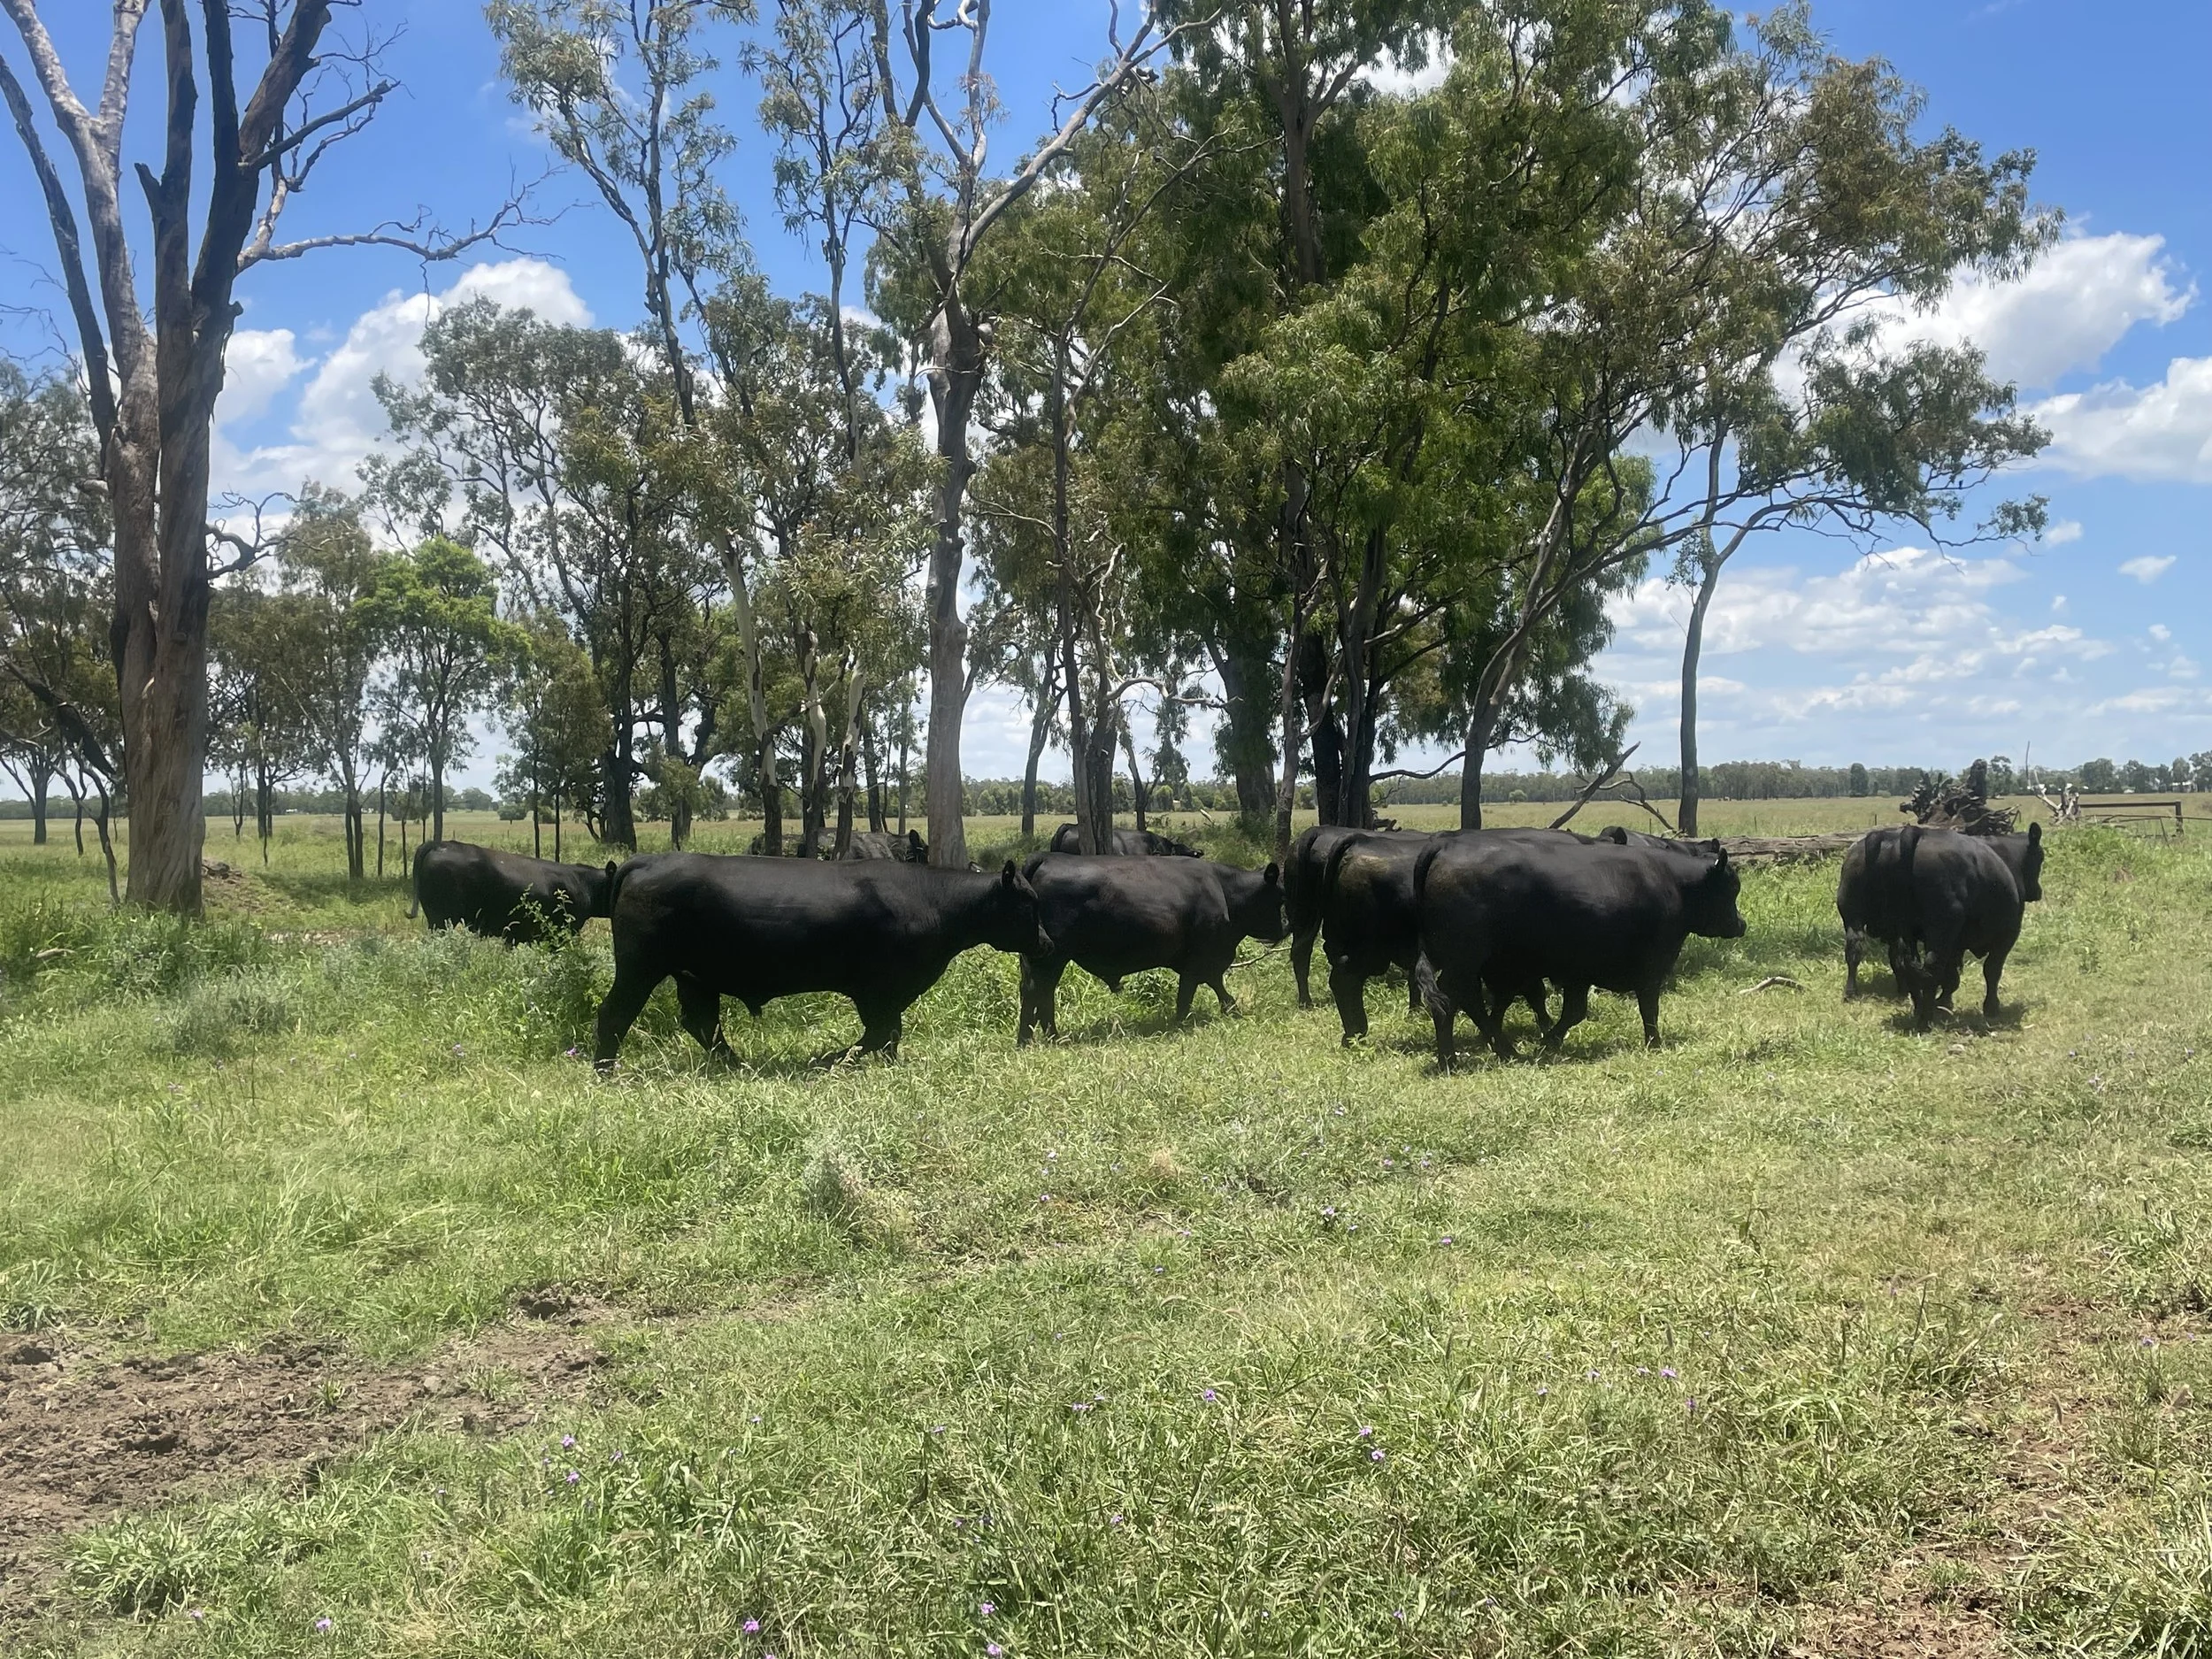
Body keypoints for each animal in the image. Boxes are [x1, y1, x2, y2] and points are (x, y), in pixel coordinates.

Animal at [592, 854, 1048, 1068]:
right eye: (1029, 904)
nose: (1046, 942)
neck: (932, 901)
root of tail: (648, 860)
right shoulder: (876, 989)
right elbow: (882, 1032)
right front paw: (833, 1060)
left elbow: (887, 1035)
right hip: (639, 967)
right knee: (614, 1014)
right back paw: (605, 1071)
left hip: (695, 975)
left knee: (702, 1023)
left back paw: (737, 1065)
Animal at [1016, 853, 1285, 1044]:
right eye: (1280, 898)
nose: (1286, 927)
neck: (1224, 890)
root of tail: (1048, 857)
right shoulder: (1200, 959)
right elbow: (1190, 994)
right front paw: (1181, 1023)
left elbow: (1216, 990)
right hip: (1052, 957)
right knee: (1040, 992)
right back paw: (1048, 1037)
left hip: (1036, 956)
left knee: (1033, 991)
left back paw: (1029, 1039)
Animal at [1414, 833, 1746, 1066]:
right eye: (1731, 889)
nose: (1741, 924)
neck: (1672, 883)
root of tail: (1445, 845)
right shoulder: (1651, 966)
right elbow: (1649, 1007)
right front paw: (1654, 1042)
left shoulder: (1579, 972)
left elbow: (1575, 1011)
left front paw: (1549, 1041)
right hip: (1464, 961)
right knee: (1452, 1000)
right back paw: (1452, 1059)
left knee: (1467, 1001)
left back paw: (1502, 1051)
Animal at [1835, 823, 2041, 1027]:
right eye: (2040, 858)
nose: (2038, 892)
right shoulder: (2007, 934)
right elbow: (1991, 970)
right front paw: (1990, 1008)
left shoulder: (1954, 943)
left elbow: (1952, 974)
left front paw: (1943, 1003)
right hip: (1940, 928)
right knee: (1929, 966)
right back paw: (1925, 1018)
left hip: (1864, 918)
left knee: (1886, 958)